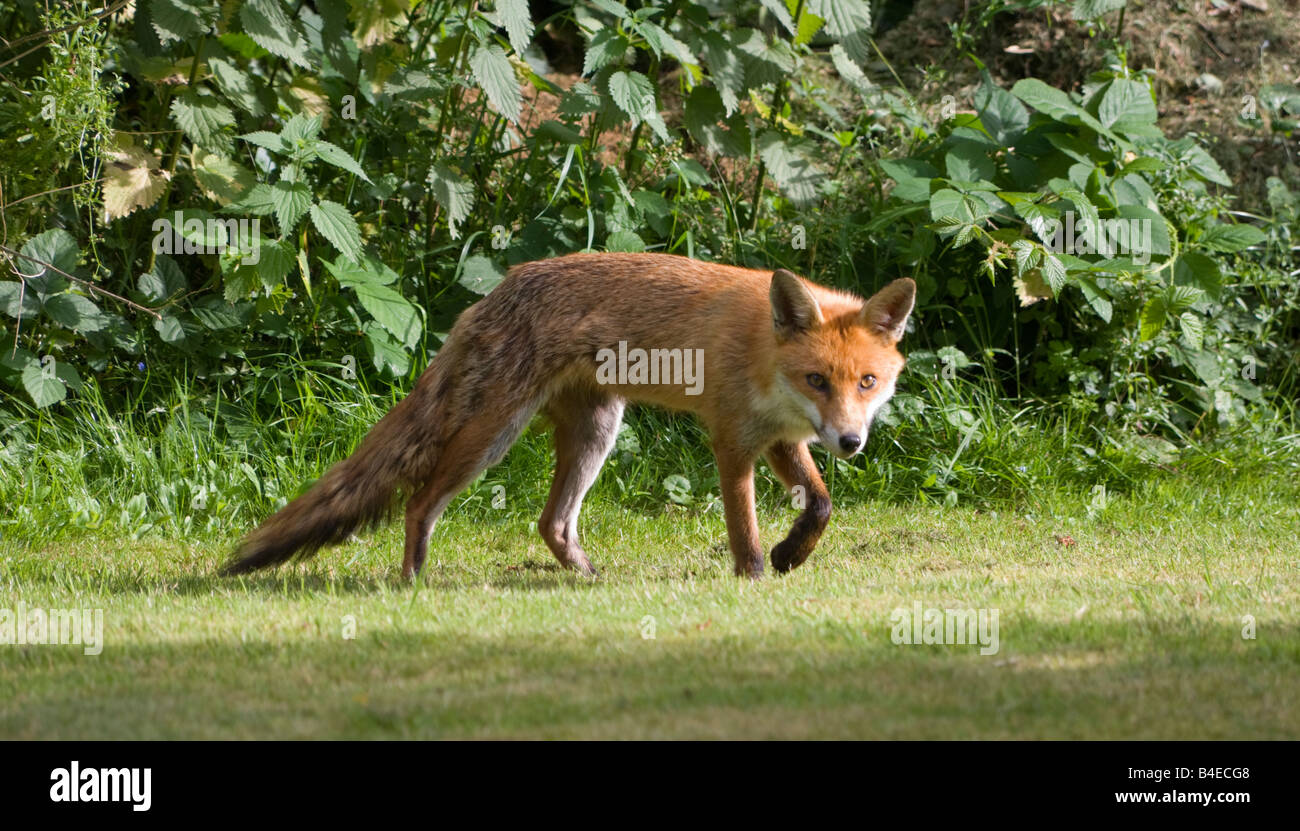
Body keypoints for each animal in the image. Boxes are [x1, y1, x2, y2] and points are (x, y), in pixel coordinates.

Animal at [221, 253, 915, 580]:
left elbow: (820, 504)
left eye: (867, 382)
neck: (764, 354)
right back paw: (412, 580)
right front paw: (753, 576)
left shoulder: (778, 439)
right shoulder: (730, 441)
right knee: (420, 502)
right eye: (817, 379)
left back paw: (590, 579)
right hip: (493, 436)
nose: (851, 441)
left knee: (551, 524)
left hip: (596, 433)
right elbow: (742, 528)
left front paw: (792, 555)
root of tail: (493, 293)